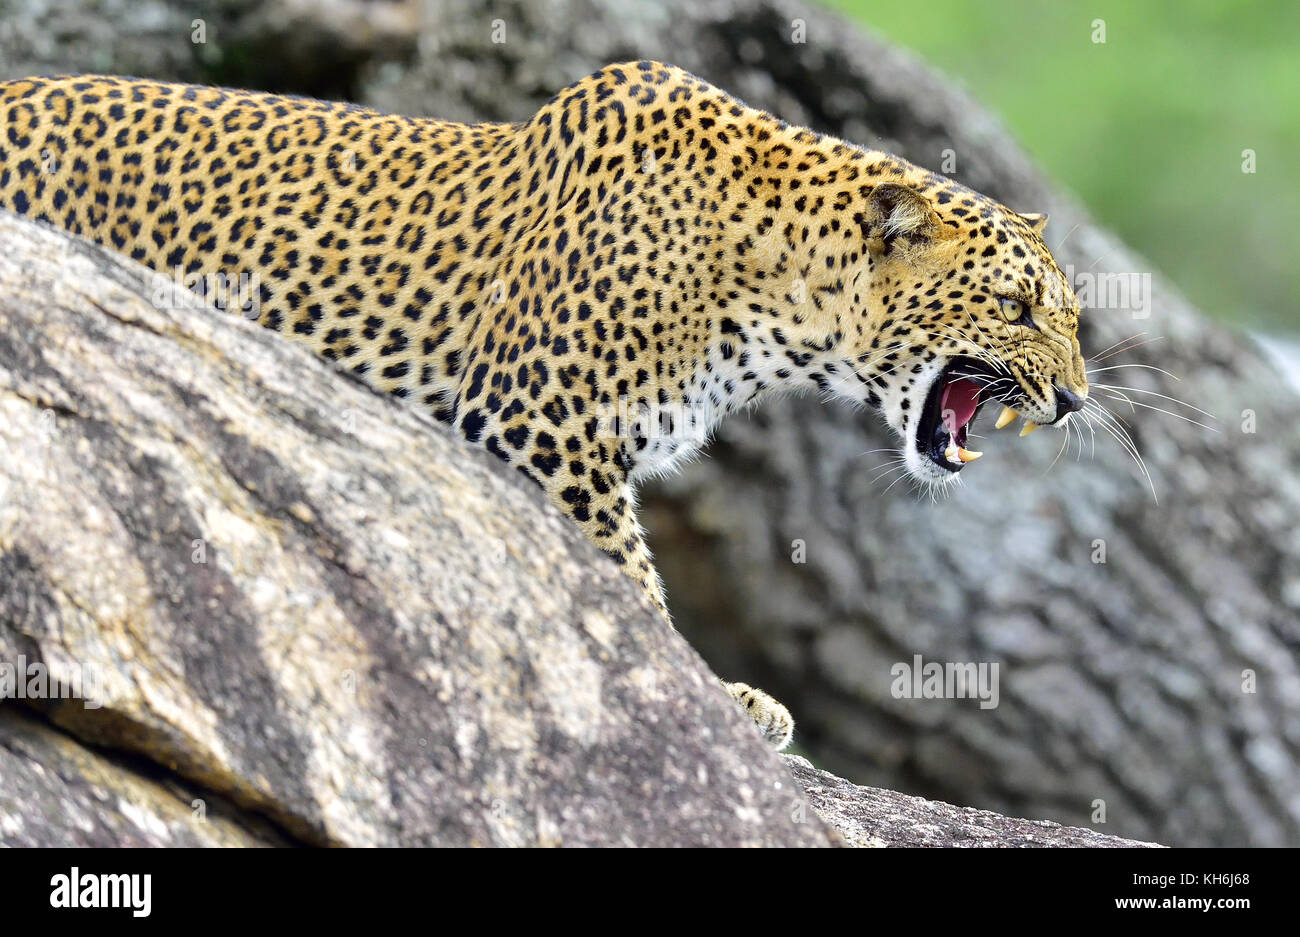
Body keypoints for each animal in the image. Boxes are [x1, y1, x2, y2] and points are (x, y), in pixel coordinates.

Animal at [0, 60, 1089, 752]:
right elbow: (626, 582)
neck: (772, 295)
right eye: (1014, 306)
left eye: (1073, 317)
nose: (1076, 397)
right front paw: (716, 700)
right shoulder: (542, 421)